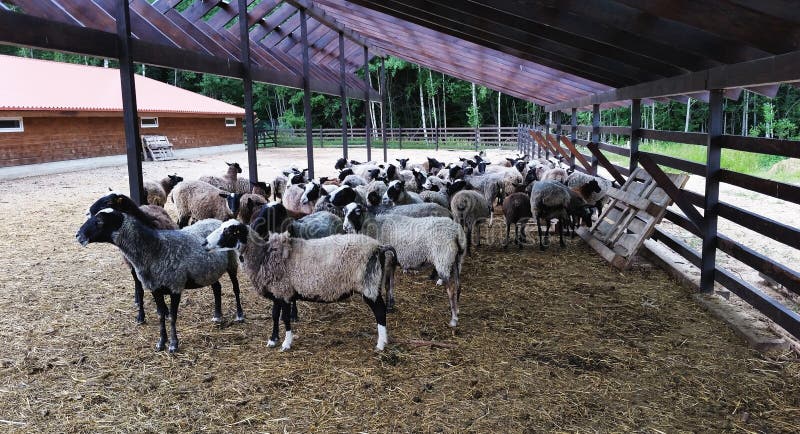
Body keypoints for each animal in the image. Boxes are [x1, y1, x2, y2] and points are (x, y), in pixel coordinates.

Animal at [77, 209, 242, 353]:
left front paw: (173, 345)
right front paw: (161, 342)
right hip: (209, 271)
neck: (155, 249)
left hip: (232, 262)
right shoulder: (155, 288)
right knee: (217, 288)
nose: (78, 235)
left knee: (235, 288)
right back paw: (217, 316)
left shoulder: (175, 286)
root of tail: (217, 221)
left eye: (99, 221)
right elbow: (161, 315)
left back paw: (240, 315)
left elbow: (173, 317)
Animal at [204, 221, 396, 351]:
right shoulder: (277, 292)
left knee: (380, 311)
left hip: (369, 284)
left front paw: (286, 343)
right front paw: (273, 339)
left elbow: (285, 318)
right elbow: (274, 315)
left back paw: (381, 344)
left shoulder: (284, 291)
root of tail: (378, 247)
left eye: (230, 231)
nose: (204, 243)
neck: (263, 256)